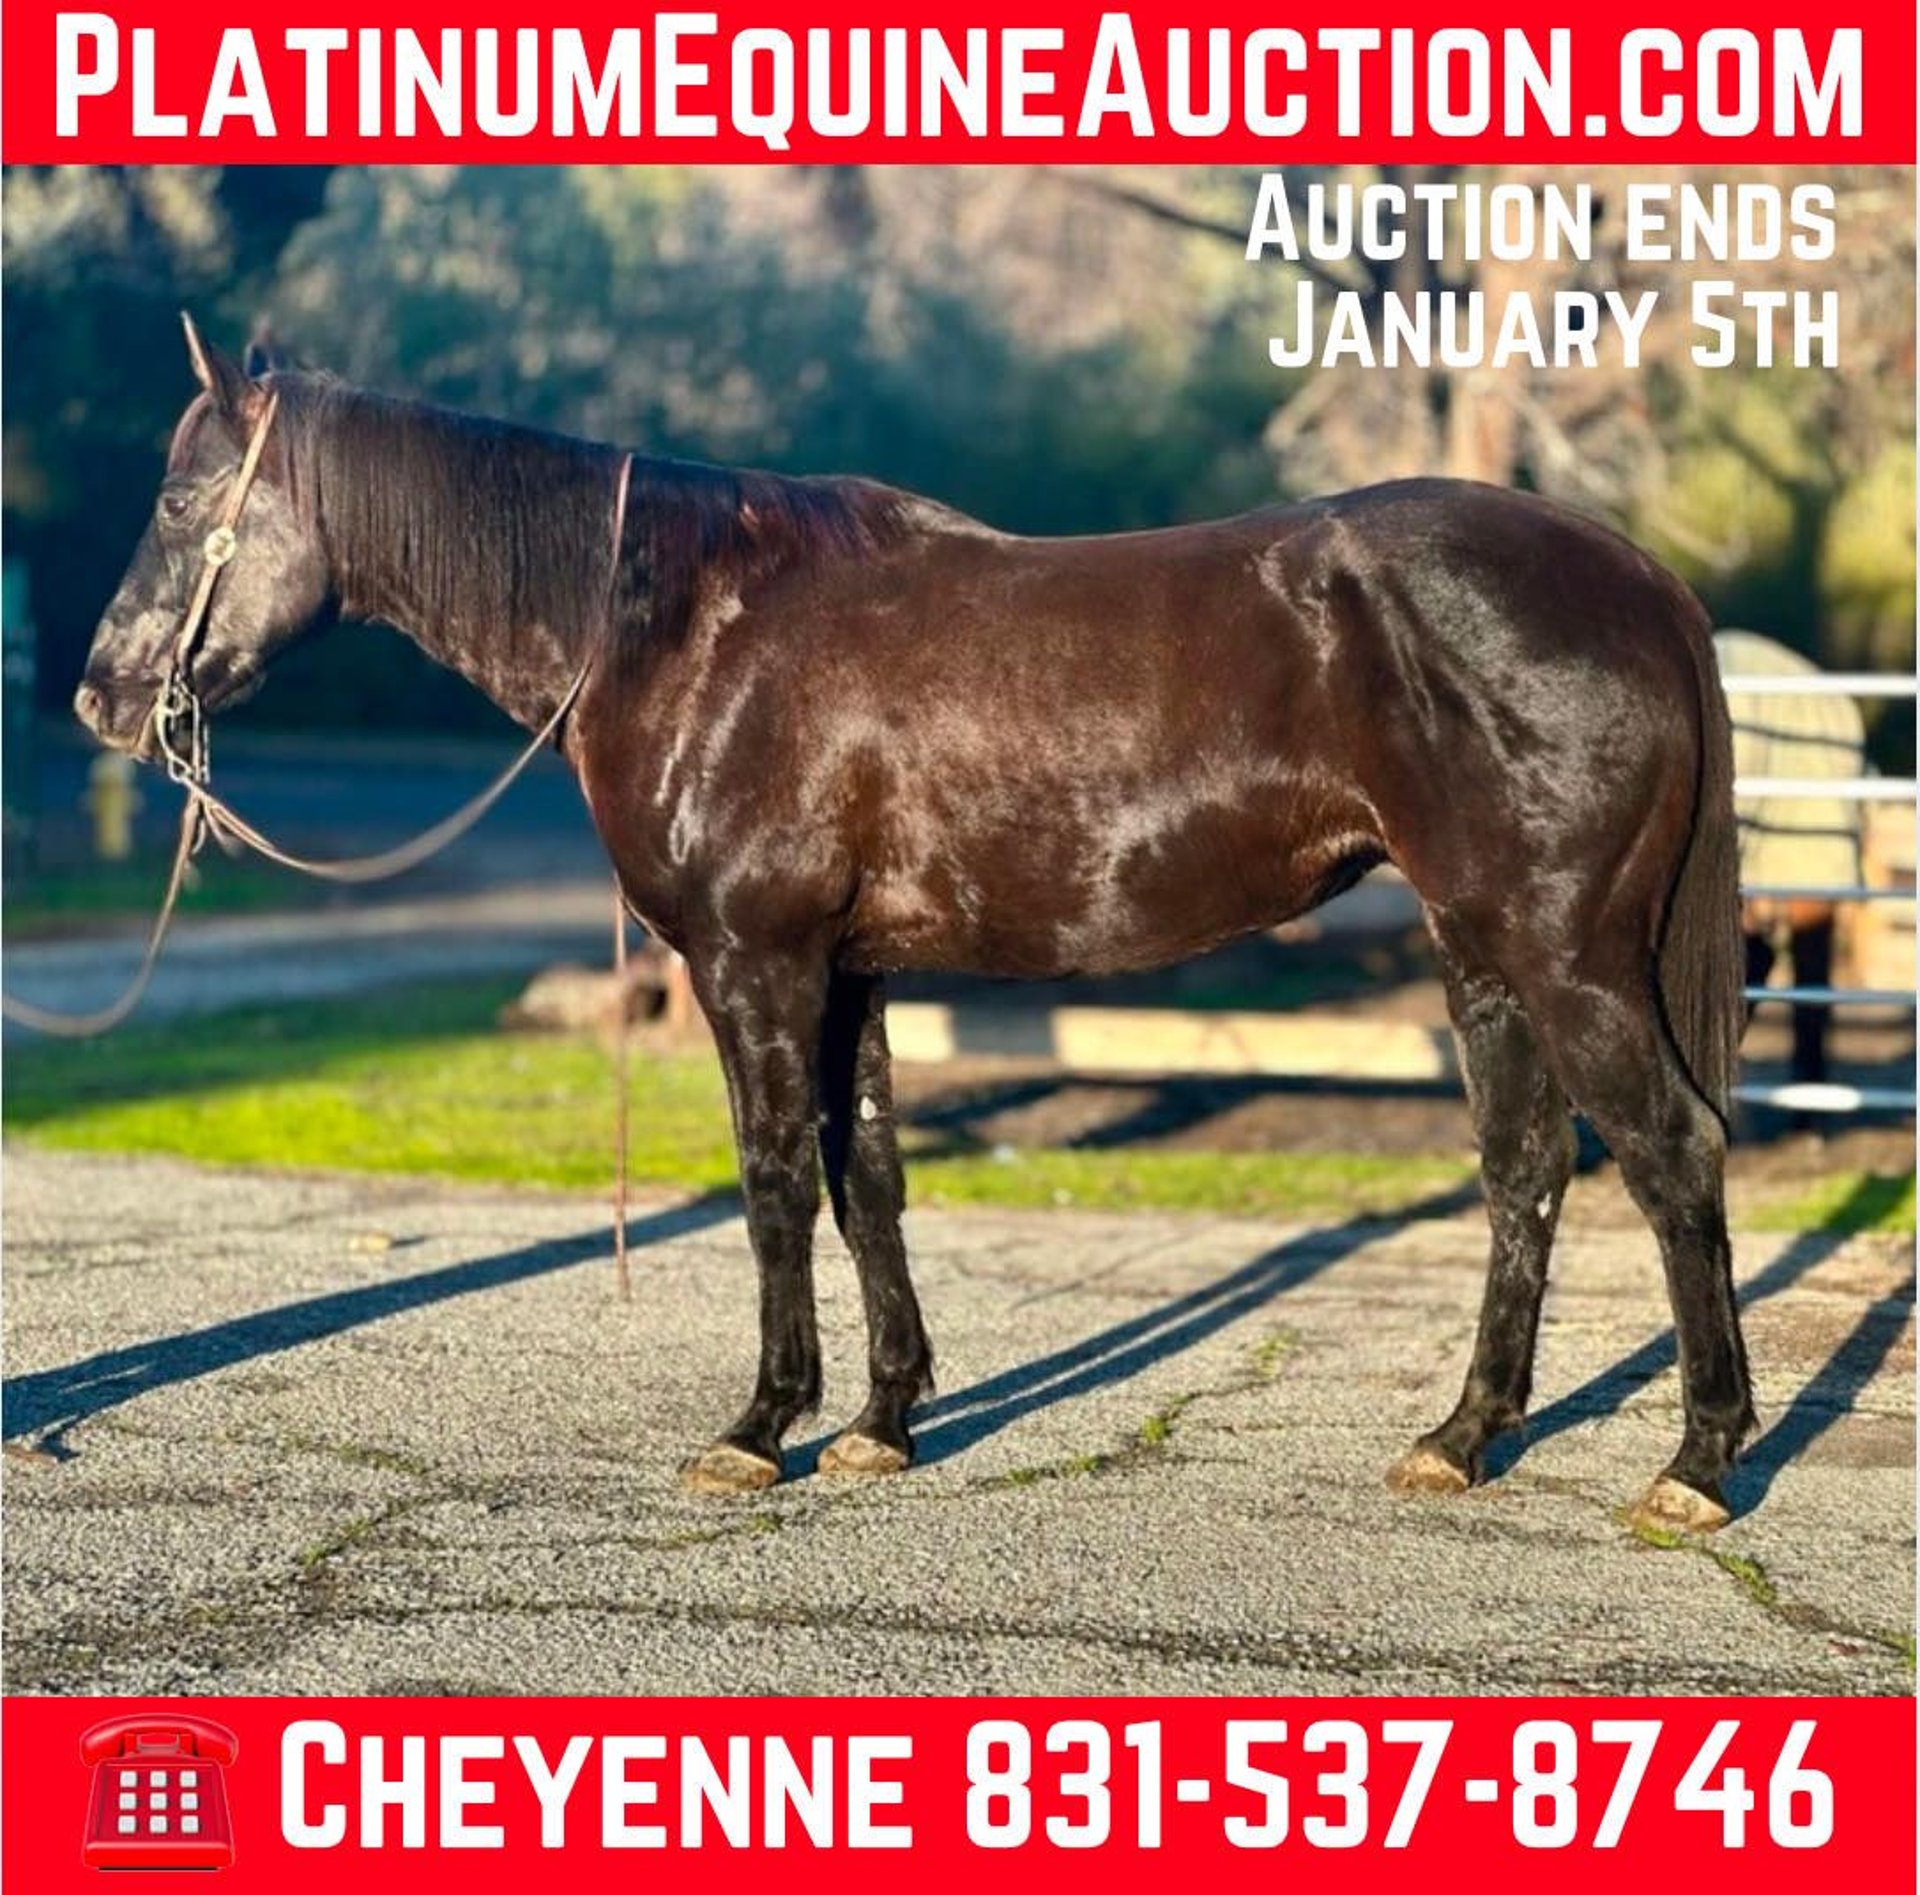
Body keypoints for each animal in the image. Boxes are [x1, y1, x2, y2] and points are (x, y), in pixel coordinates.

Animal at [74, 319, 1753, 1534]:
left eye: (179, 499)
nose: (99, 694)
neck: (689, 627)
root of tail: (1644, 582)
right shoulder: (852, 974)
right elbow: (866, 1176)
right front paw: (885, 1420)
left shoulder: (753, 963)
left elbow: (771, 1186)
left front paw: (761, 1426)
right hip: (1483, 956)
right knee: (1528, 1169)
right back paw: (1463, 1436)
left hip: (1563, 953)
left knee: (1673, 1152)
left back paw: (1696, 1460)